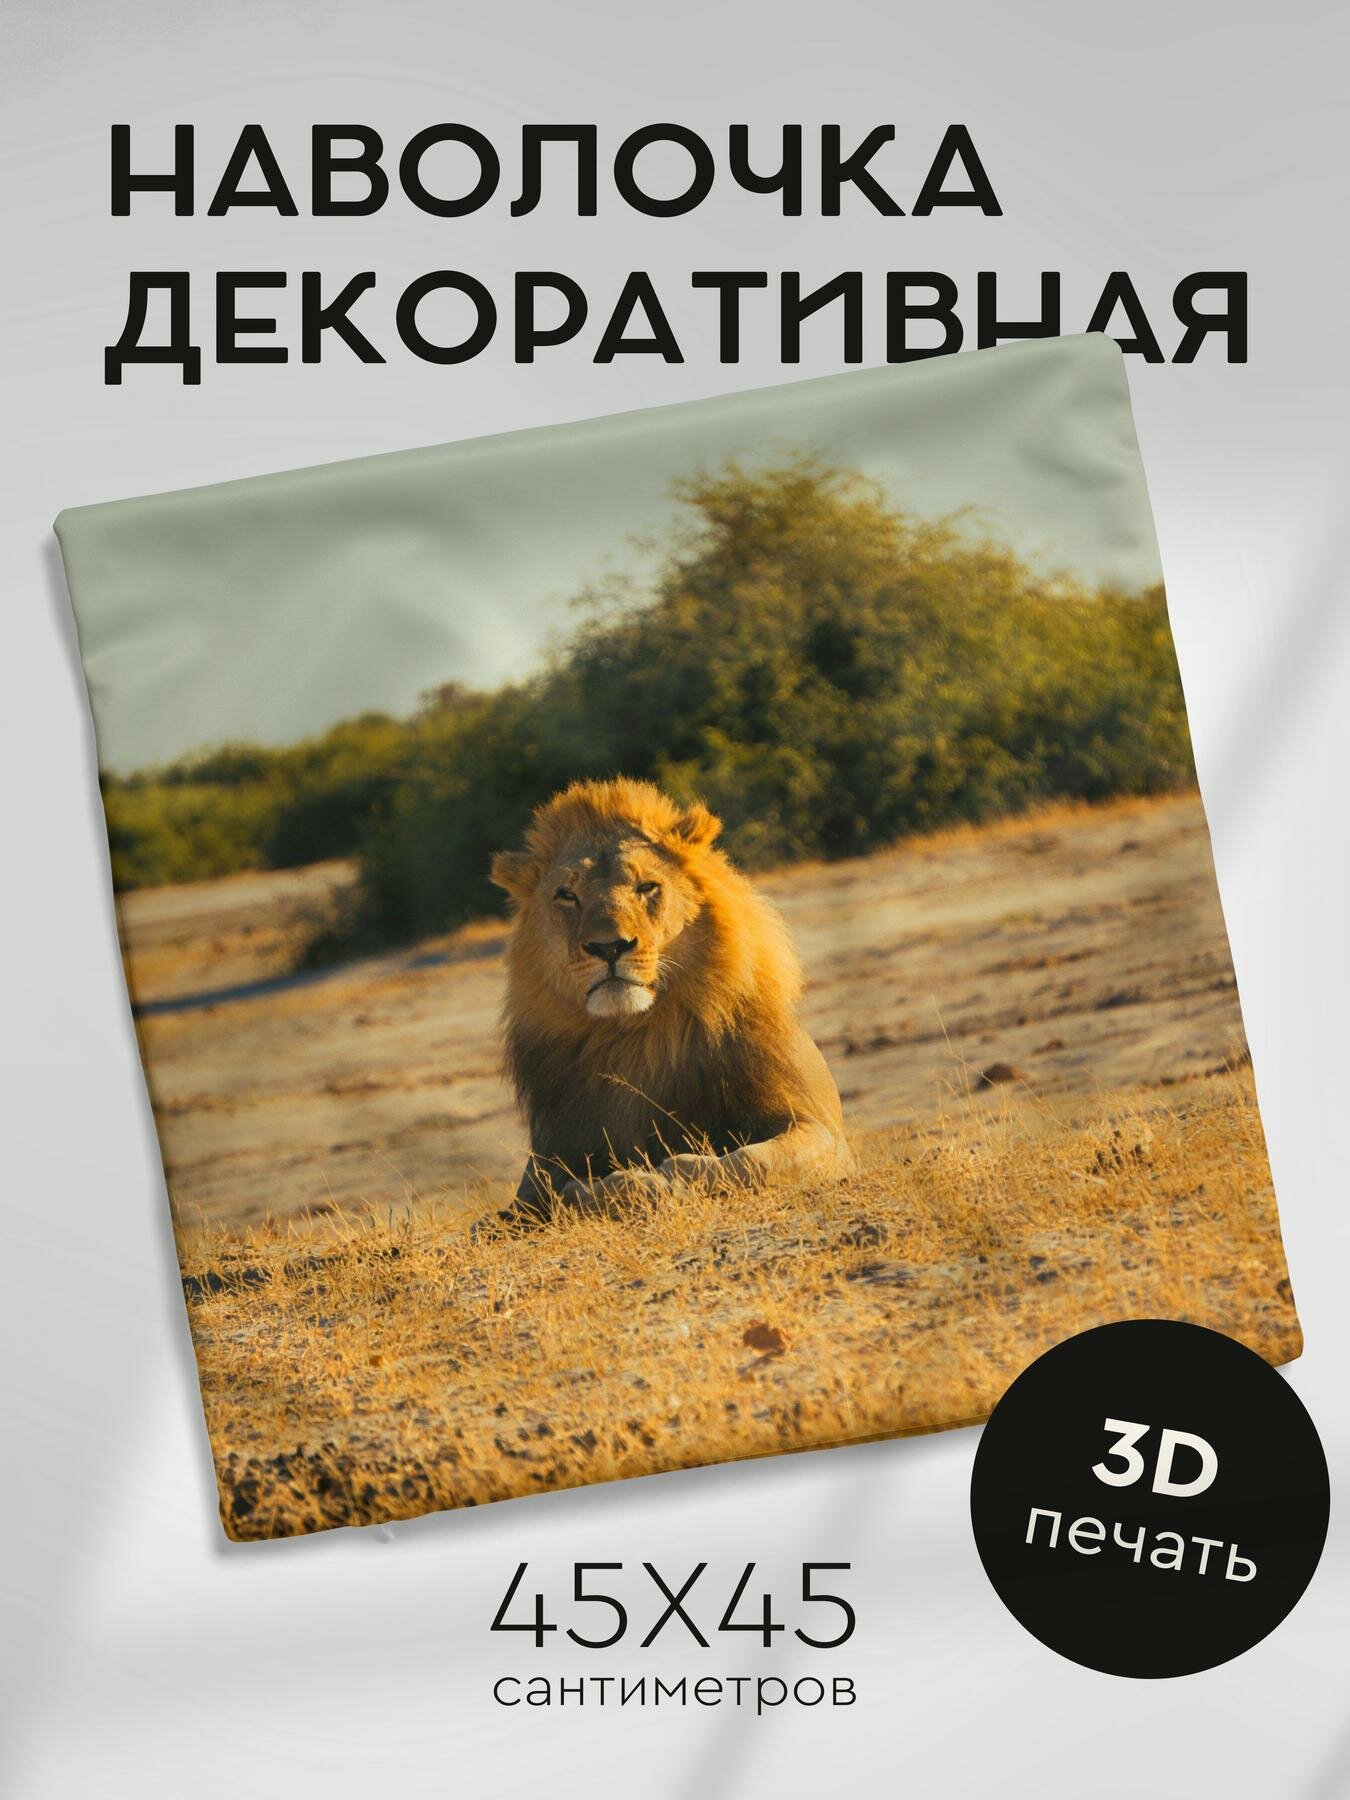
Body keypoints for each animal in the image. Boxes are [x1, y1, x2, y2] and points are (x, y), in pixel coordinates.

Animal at [488, 777, 849, 1221]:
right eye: (567, 896)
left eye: (646, 887)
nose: (609, 946)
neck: (637, 1036)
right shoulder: (544, 1164)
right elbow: (548, 1198)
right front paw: (629, 1185)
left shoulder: (823, 1132)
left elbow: (752, 1161)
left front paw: (670, 1177)